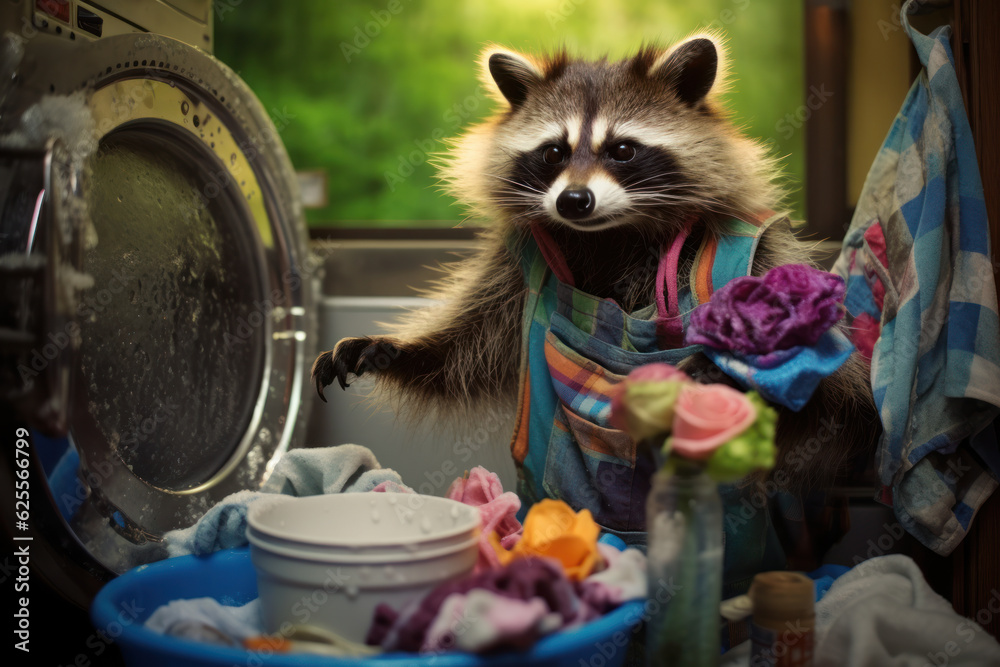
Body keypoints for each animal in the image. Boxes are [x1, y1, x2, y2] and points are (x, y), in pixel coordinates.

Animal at [312, 35, 878, 495]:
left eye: (623, 150)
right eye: (553, 153)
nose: (573, 201)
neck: (610, 234)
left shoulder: (767, 256)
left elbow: (838, 393)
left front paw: (733, 368)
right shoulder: (514, 267)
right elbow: (465, 351)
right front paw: (398, 351)